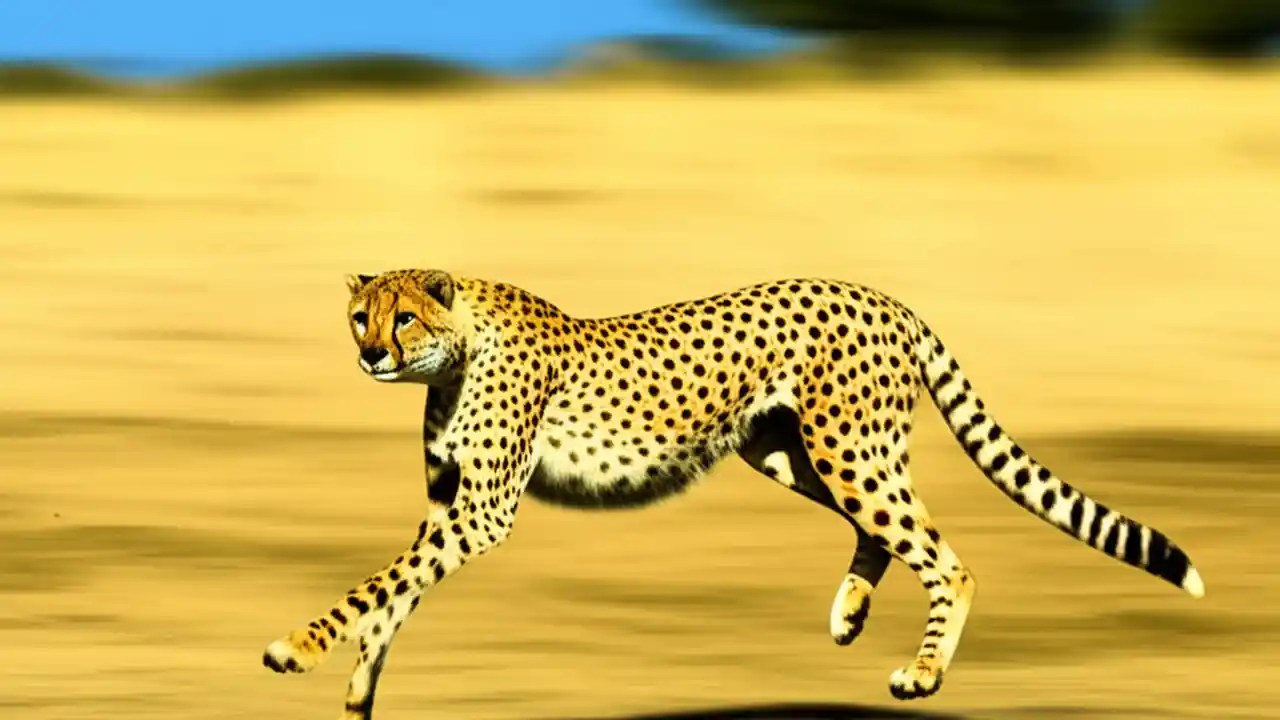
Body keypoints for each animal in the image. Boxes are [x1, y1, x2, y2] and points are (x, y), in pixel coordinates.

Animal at [262, 268, 1205, 719]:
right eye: (362, 317)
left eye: (403, 319)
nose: (370, 354)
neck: (457, 348)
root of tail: (883, 295)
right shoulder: (446, 507)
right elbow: (395, 596)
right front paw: (358, 689)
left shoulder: (479, 512)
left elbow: (379, 585)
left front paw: (298, 648)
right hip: (791, 453)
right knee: (884, 534)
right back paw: (850, 613)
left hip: (849, 451)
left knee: (946, 559)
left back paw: (923, 673)